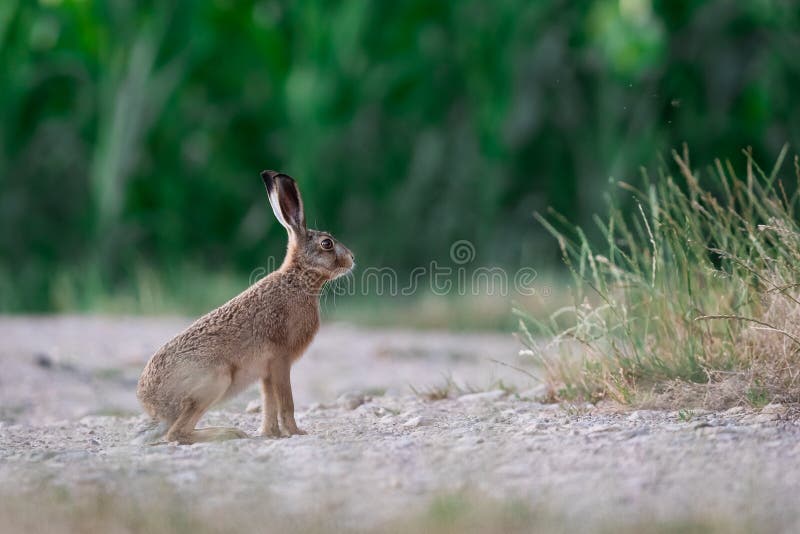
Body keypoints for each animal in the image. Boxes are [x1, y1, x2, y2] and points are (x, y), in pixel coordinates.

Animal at [136, 170, 355, 444]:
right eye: (327, 244)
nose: (352, 259)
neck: (298, 278)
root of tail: (154, 406)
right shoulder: (281, 360)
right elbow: (286, 402)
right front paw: (296, 432)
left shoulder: (267, 370)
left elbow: (269, 403)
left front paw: (271, 434)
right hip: (215, 380)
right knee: (177, 433)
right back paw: (228, 432)